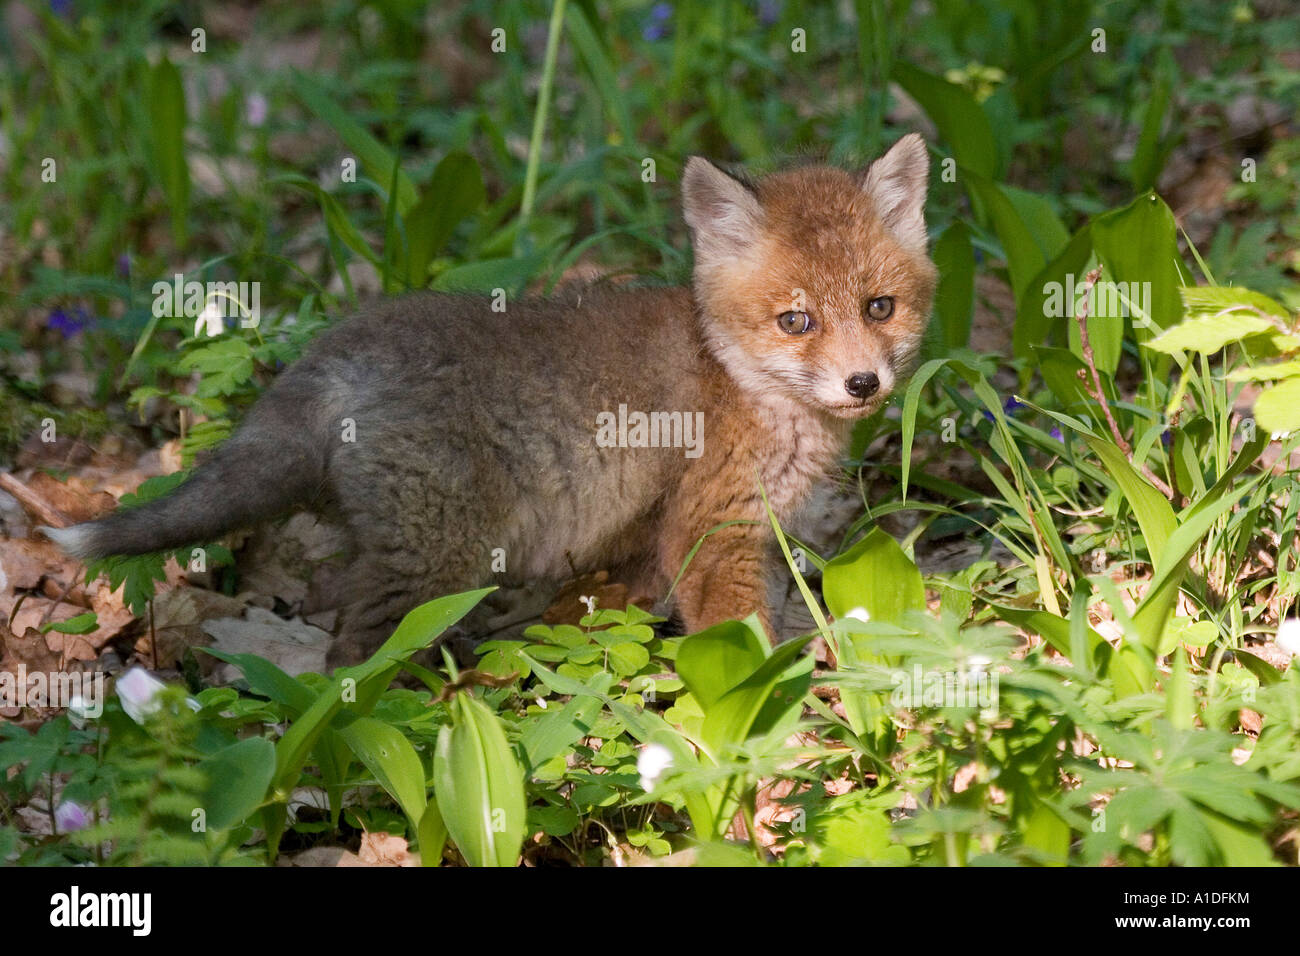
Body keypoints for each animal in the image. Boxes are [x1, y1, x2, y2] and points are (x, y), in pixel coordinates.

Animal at [43, 134, 937, 668]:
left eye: (879, 308)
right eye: (796, 321)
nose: (864, 384)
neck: (734, 374)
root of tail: (338, 350)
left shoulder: (693, 538)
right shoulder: (711, 529)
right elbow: (741, 643)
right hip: (435, 563)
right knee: (349, 664)